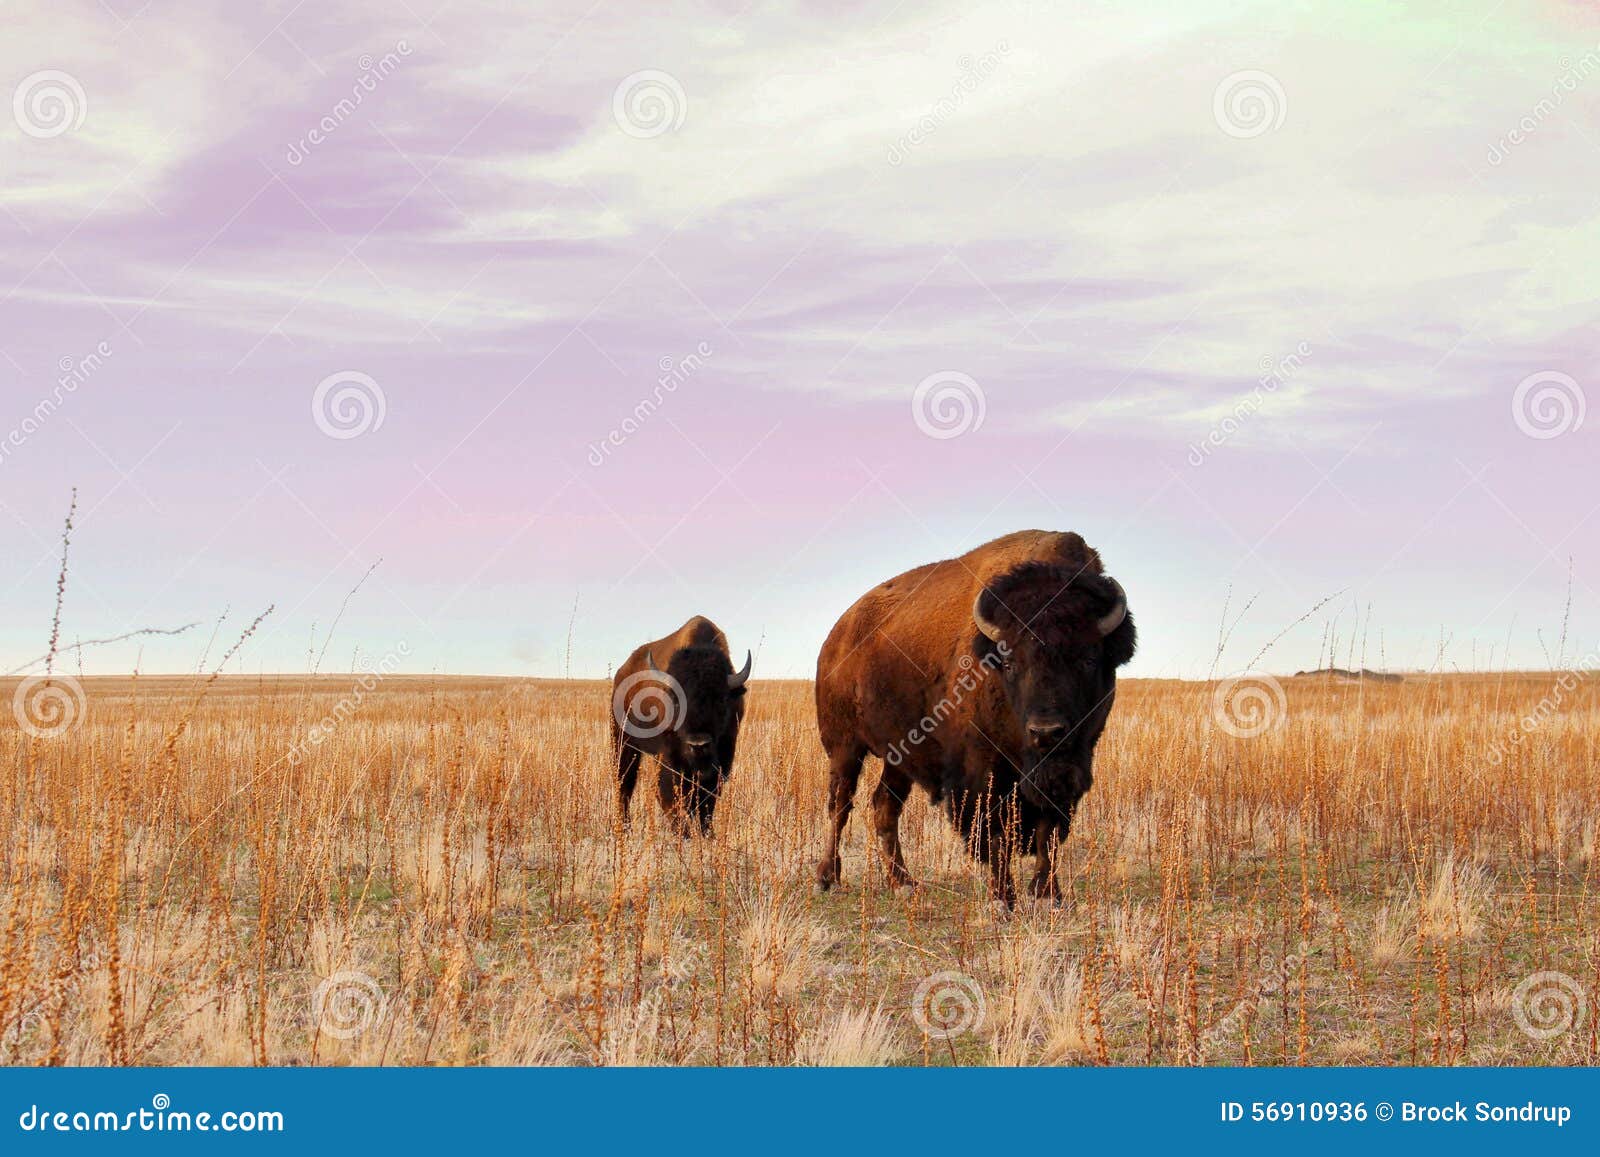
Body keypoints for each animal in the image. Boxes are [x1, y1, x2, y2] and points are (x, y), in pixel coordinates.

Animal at [612, 615, 752, 835]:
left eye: (721, 700)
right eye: (676, 701)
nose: (698, 744)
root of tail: (622, 672)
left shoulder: (721, 760)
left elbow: (705, 803)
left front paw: (706, 834)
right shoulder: (669, 761)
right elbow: (671, 796)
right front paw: (684, 833)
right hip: (624, 743)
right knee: (625, 785)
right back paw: (626, 829)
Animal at [814, 530, 1135, 906]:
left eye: (1088, 659)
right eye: (1009, 663)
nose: (1046, 731)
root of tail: (837, 635)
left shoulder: (1071, 763)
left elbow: (1050, 830)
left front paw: (1046, 895)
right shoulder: (984, 768)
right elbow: (995, 832)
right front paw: (1002, 898)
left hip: (899, 757)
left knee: (884, 806)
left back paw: (903, 882)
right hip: (844, 747)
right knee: (839, 805)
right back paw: (826, 877)